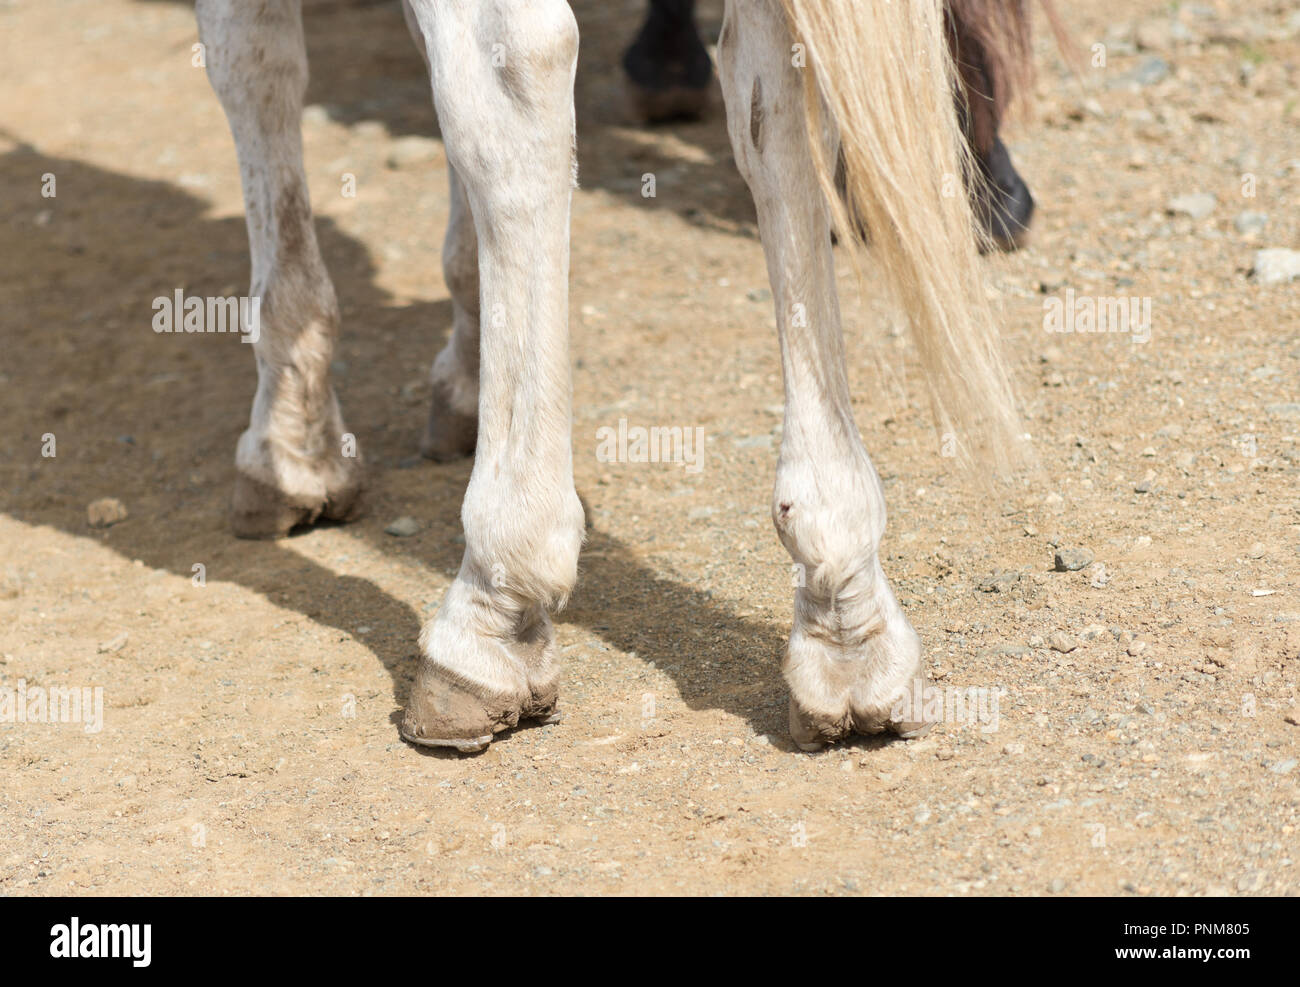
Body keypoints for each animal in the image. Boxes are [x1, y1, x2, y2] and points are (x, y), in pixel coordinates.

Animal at [195, 0, 1027, 753]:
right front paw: (462, 363)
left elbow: (253, 59)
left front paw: (291, 443)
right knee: (775, 94)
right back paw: (844, 606)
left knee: (510, 78)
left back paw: (493, 606)